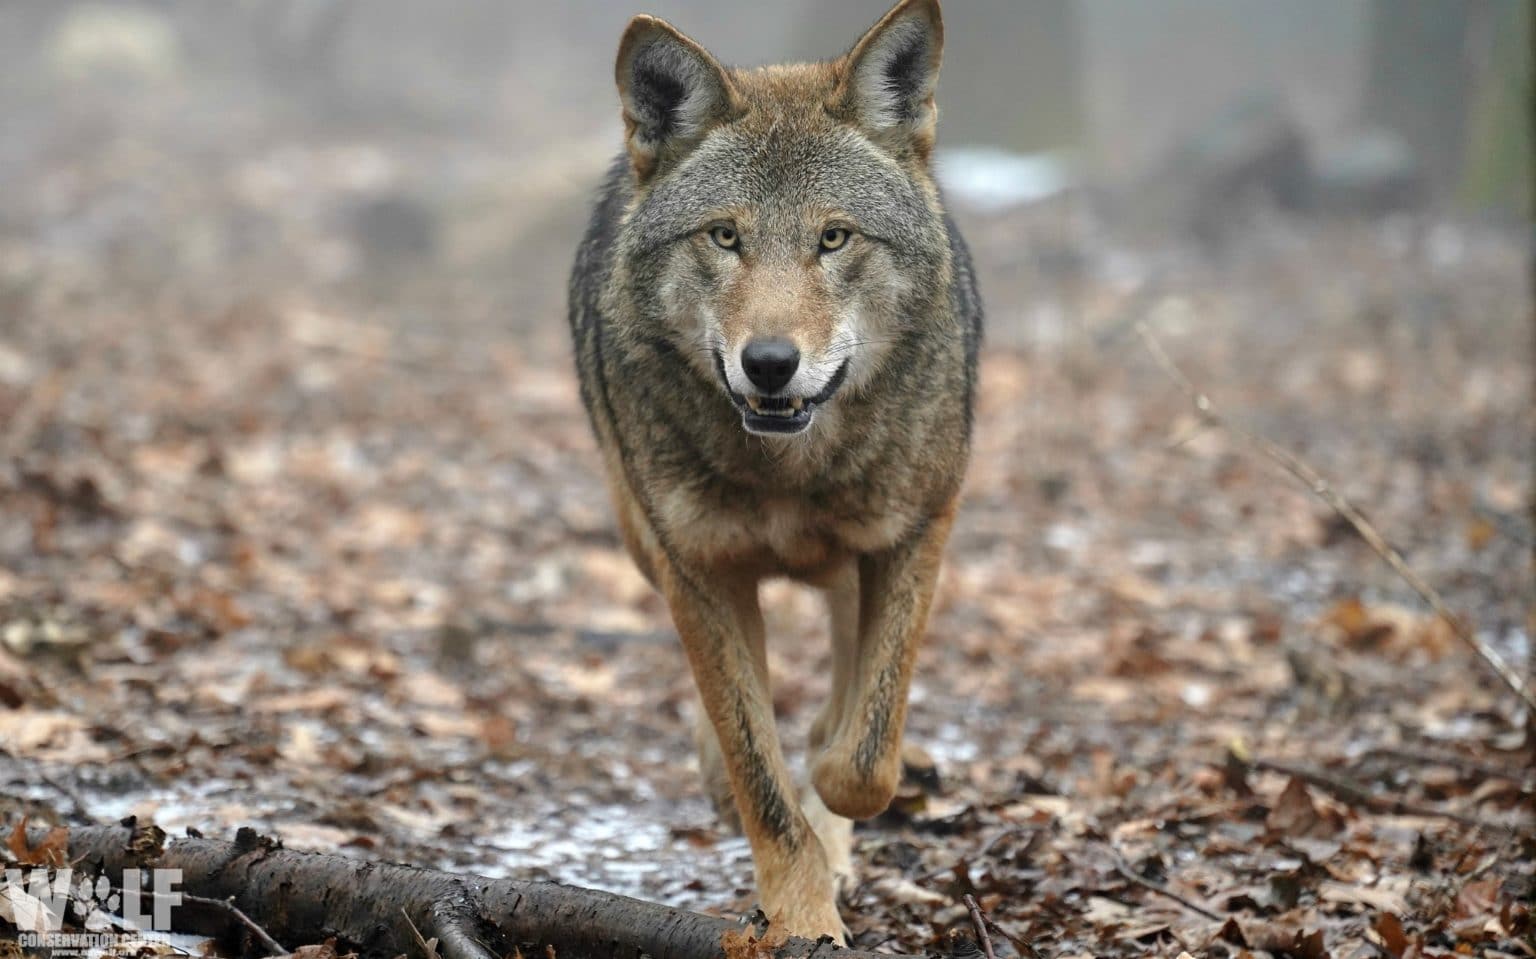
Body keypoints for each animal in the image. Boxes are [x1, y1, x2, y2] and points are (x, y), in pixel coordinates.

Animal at [567, 0, 981, 940]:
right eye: (726, 236)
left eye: (834, 238)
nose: (768, 363)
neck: (791, 469)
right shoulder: (699, 567)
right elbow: (757, 767)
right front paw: (801, 916)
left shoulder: (918, 529)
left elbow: (864, 754)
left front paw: (830, 802)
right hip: (644, 539)